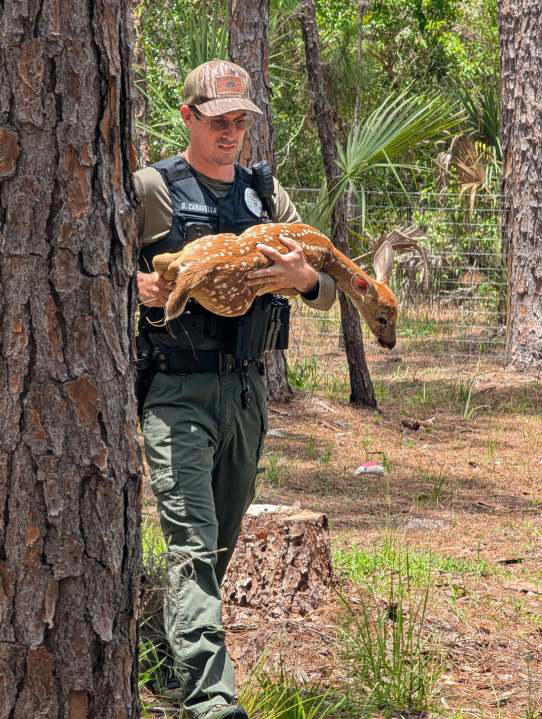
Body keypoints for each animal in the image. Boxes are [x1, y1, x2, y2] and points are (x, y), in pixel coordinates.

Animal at [152, 222, 399, 349]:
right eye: (382, 318)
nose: (390, 343)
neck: (330, 254)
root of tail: (199, 268)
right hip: (233, 302)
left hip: (199, 244)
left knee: (160, 261)